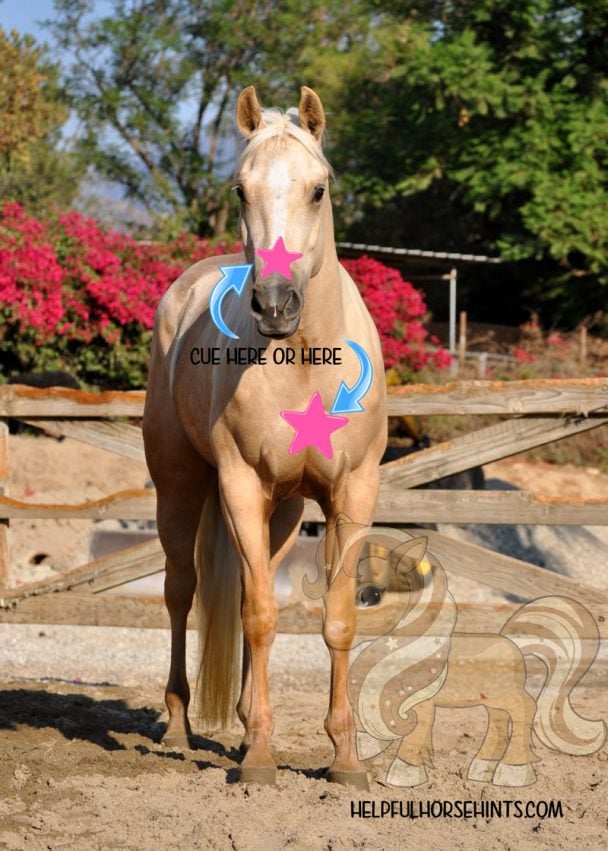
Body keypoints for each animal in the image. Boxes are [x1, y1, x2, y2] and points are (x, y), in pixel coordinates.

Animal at [143, 85, 387, 788]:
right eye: (239, 189)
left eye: (318, 189)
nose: (276, 304)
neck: (304, 361)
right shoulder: (240, 488)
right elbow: (256, 616)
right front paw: (256, 760)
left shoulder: (352, 495)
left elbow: (337, 619)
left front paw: (345, 759)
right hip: (181, 489)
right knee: (182, 592)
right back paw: (180, 728)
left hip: (283, 512)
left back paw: (253, 719)